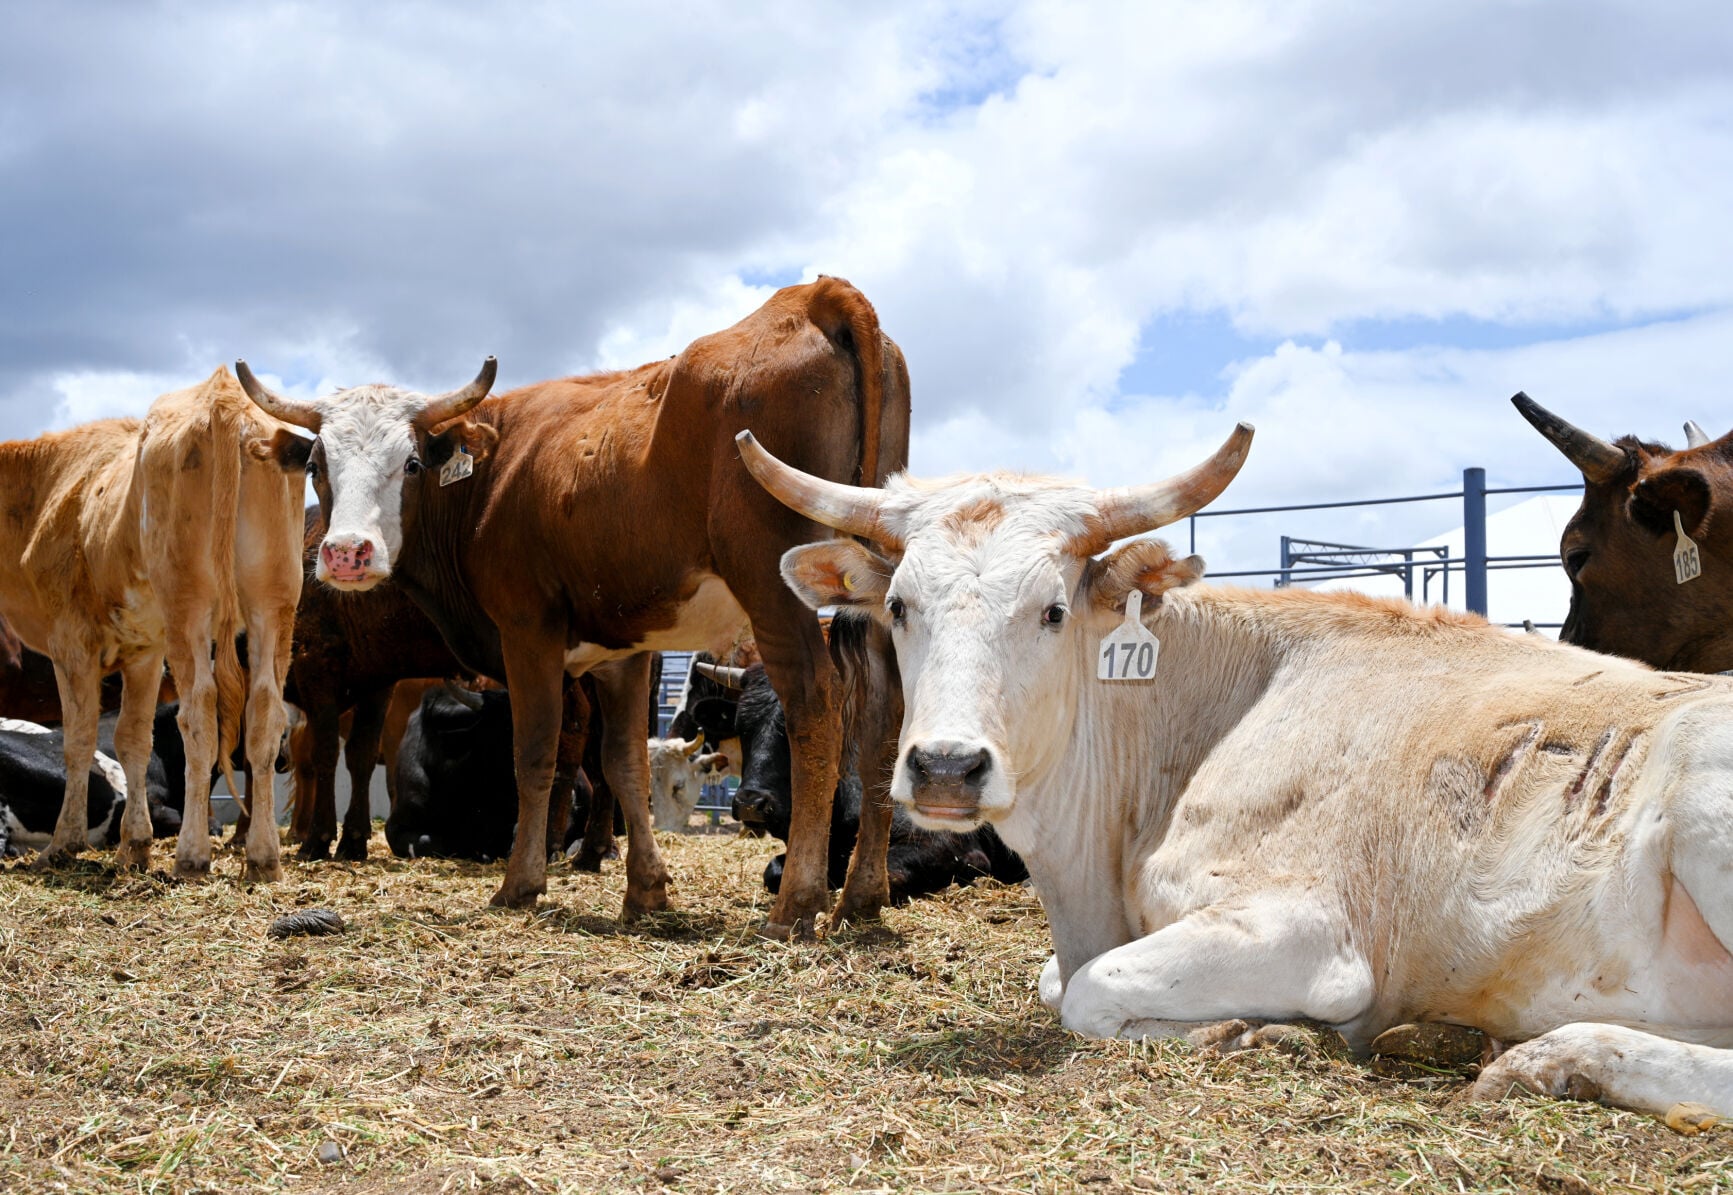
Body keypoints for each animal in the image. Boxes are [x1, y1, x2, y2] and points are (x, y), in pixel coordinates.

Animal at [0, 369, 305, 880]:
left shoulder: (72, 642)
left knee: (198, 711)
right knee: (264, 711)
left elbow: (79, 739)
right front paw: (135, 847)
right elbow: (132, 740)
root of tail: (224, 398)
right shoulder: (143, 651)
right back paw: (263, 857)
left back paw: (192, 855)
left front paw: (64, 844)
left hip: (188, 605)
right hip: (274, 602)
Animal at [235, 278, 910, 934]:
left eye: (411, 463)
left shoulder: (527, 630)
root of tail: (818, 295)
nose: (347, 553)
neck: (493, 475)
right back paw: (861, 896)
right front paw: (645, 891)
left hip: (775, 588)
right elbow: (623, 761)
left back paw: (797, 902)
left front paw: (521, 884)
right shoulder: (623, 650)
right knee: (883, 717)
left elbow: (534, 751)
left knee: (816, 708)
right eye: (316, 463)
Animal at [739, 423, 1733, 1120]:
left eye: (1052, 609)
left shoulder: (1311, 931)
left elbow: (1089, 992)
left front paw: (1254, 1030)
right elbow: (1058, 980)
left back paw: (1555, 1057)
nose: (946, 765)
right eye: (900, 605)